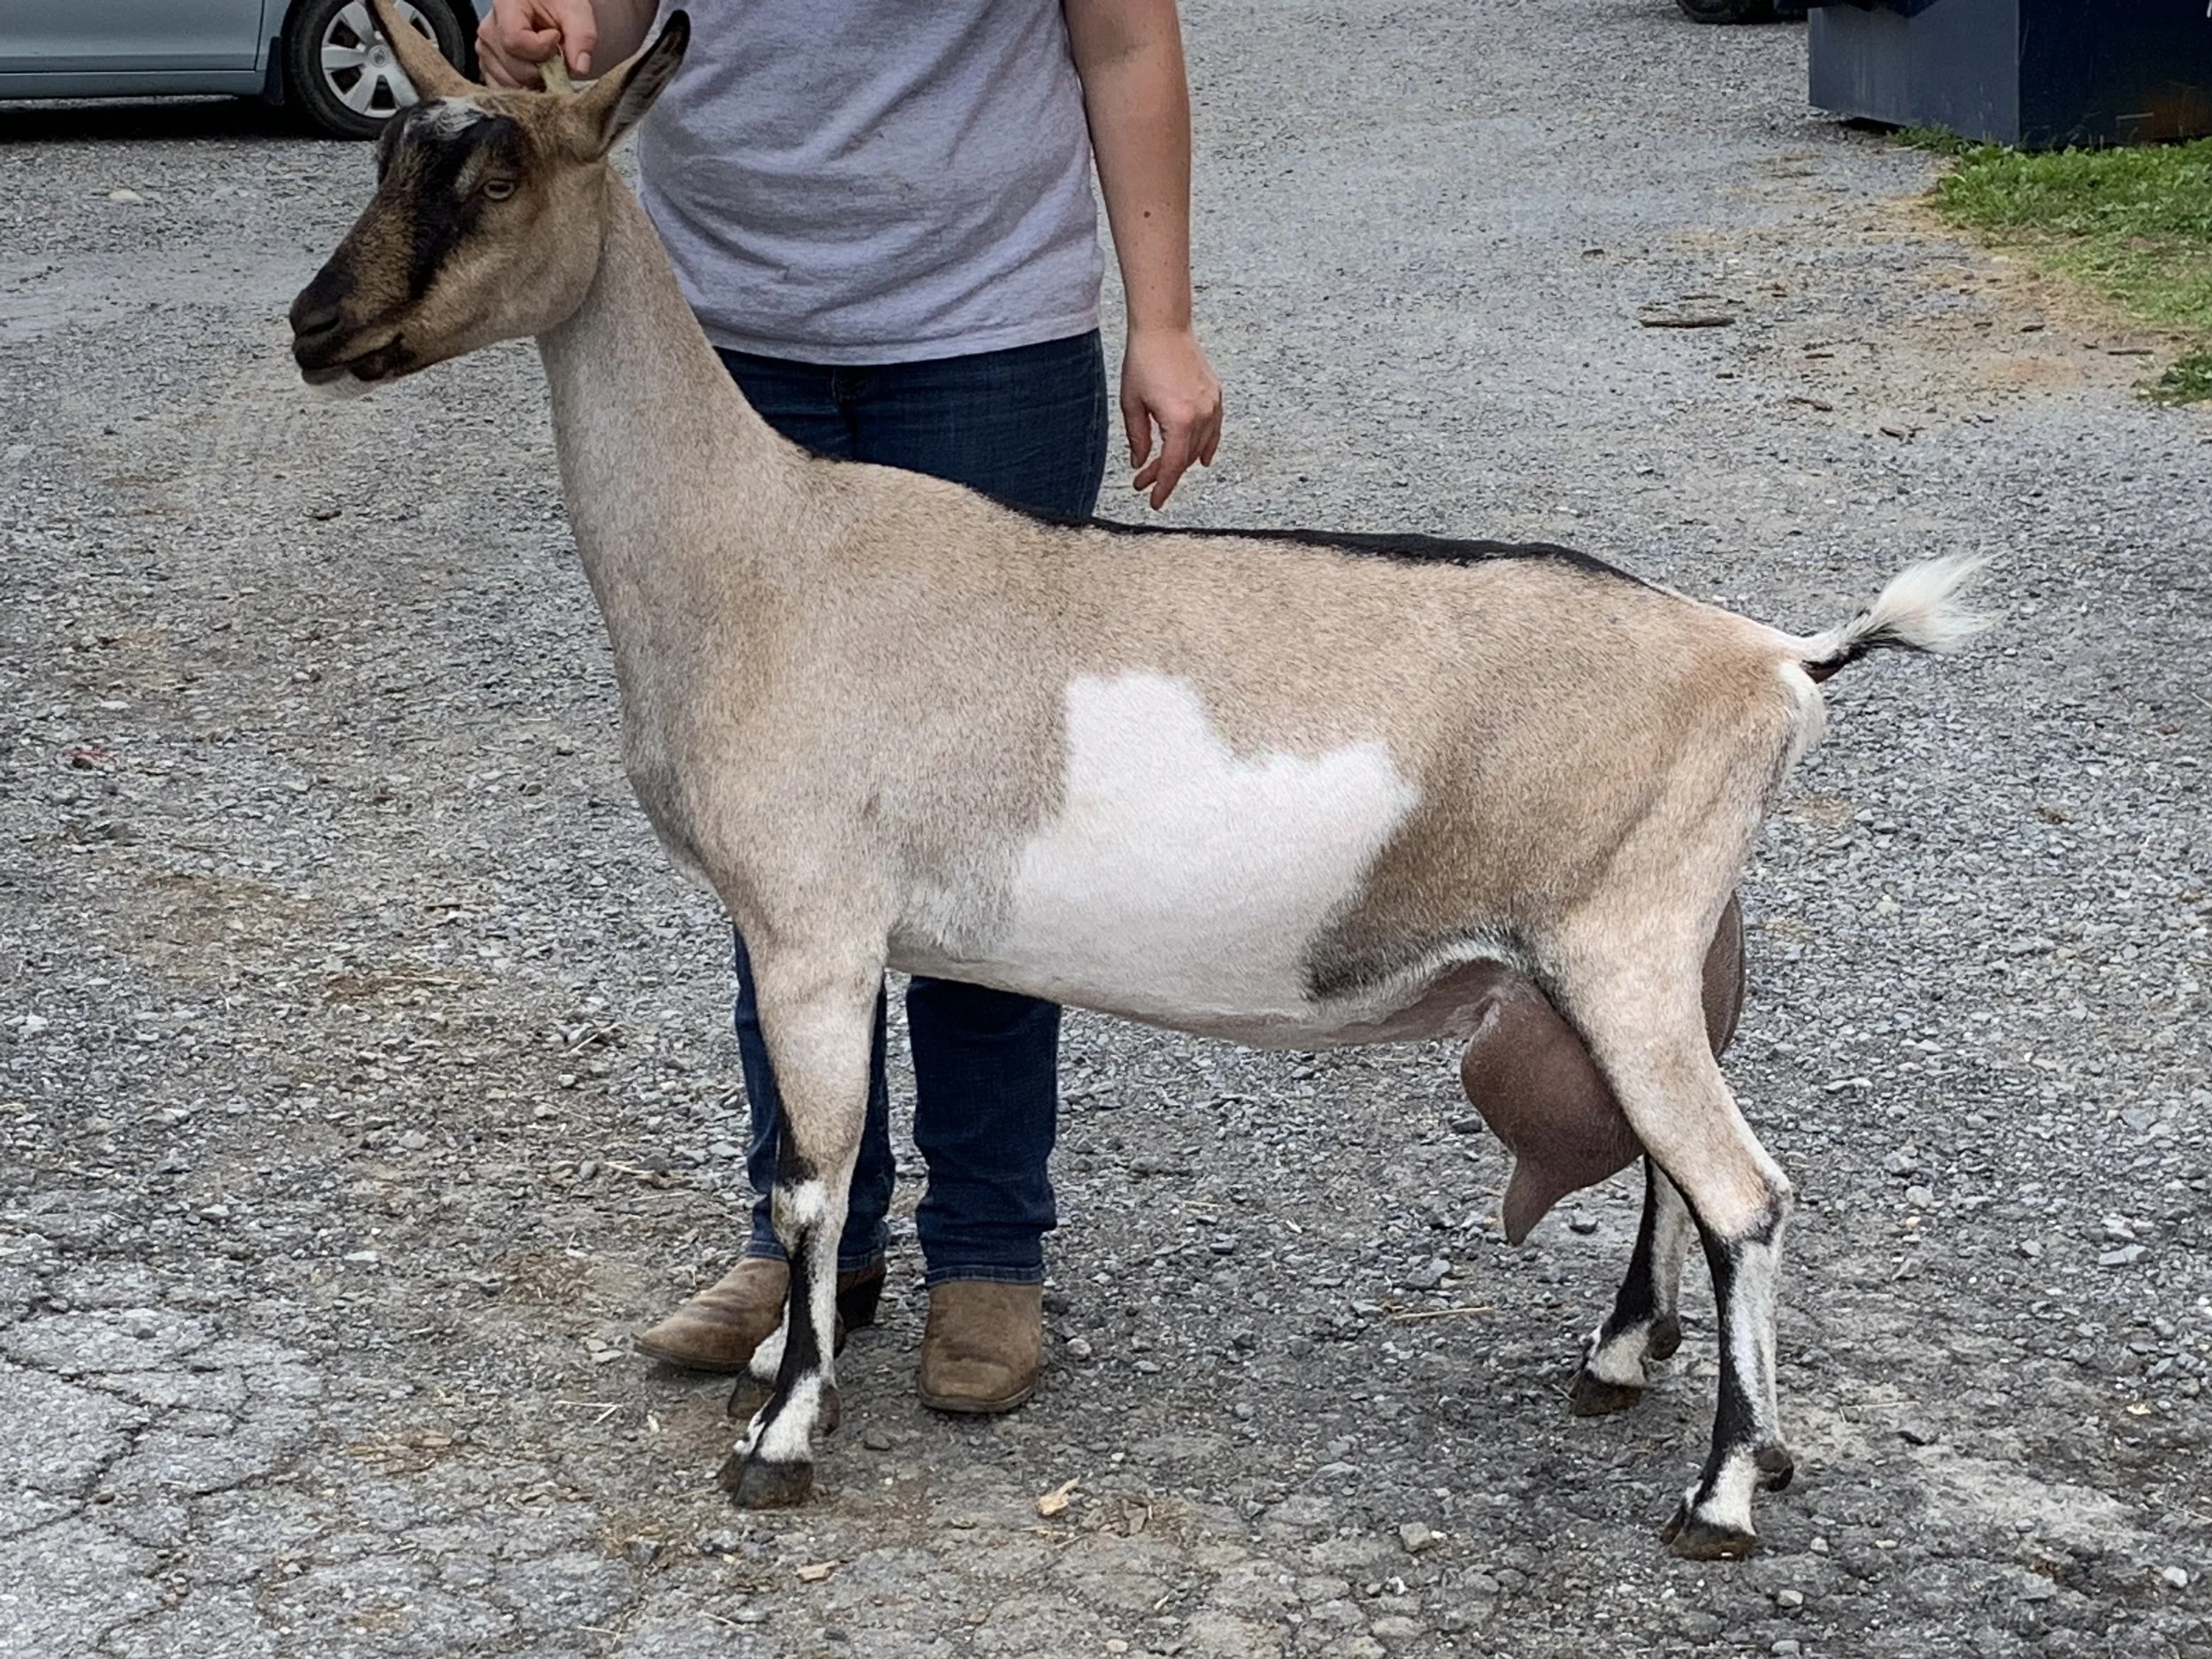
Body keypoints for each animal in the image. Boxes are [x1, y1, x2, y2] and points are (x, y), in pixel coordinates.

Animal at [288, 6, 1984, 1558]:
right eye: (385, 157)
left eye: (497, 173)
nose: (314, 330)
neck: (766, 549)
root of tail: (1775, 659)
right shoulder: (831, 935)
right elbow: (810, 1170)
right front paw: (776, 1355)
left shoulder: (812, 925)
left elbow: (813, 1177)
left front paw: (777, 1437)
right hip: (1645, 959)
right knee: (1677, 1173)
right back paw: (1628, 1361)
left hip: (1624, 941)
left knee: (1744, 1192)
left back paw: (1723, 1493)